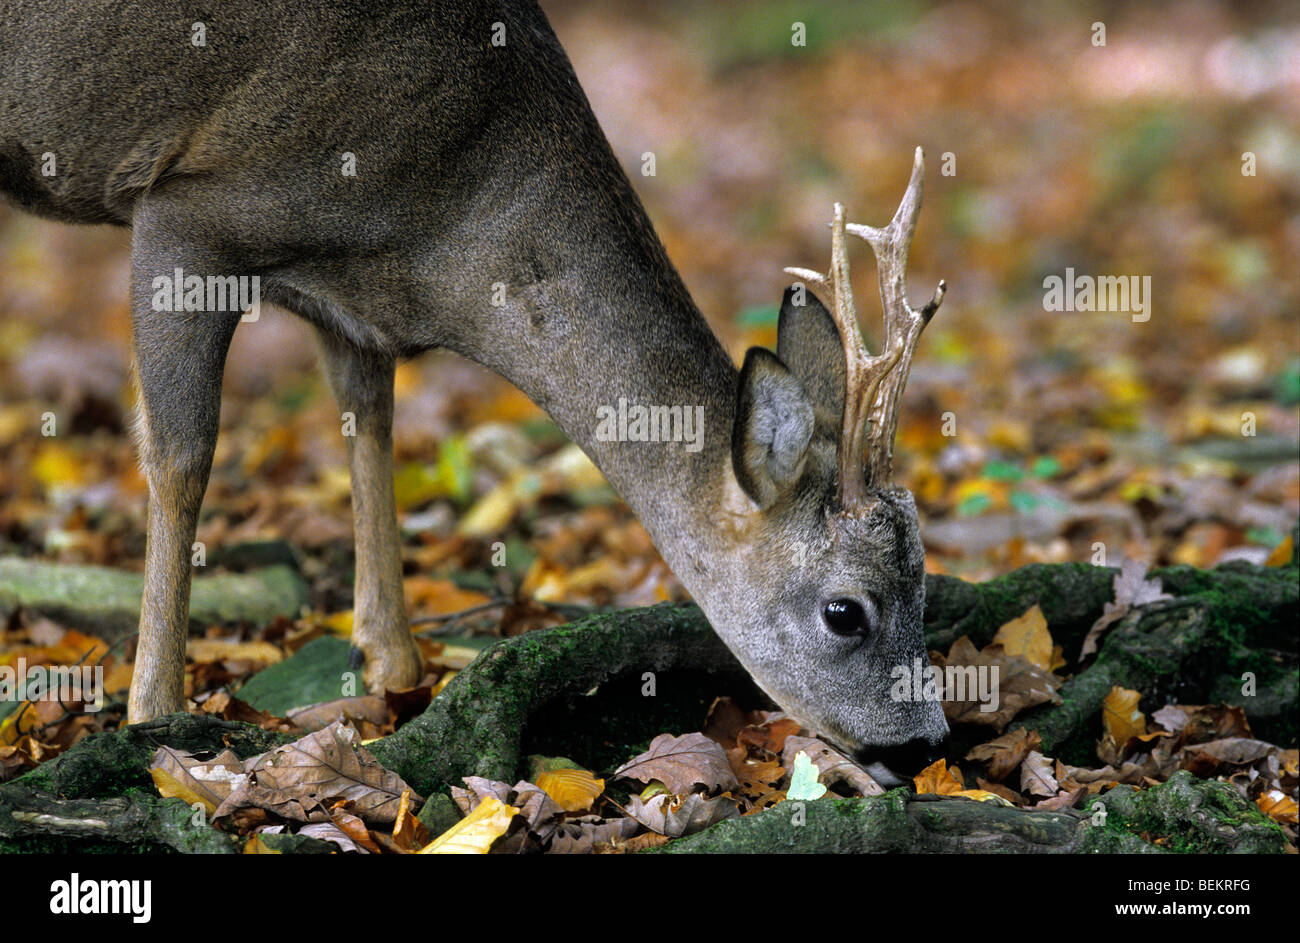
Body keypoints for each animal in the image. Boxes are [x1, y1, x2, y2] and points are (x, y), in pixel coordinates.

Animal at [0, 0, 949, 785]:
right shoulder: (188, 211)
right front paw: (153, 711)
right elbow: (181, 456)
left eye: (926, 582)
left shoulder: (353, 310)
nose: (925, 742)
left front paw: (390, 665)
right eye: (845, 612)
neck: (449, 237)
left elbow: (369, 429)